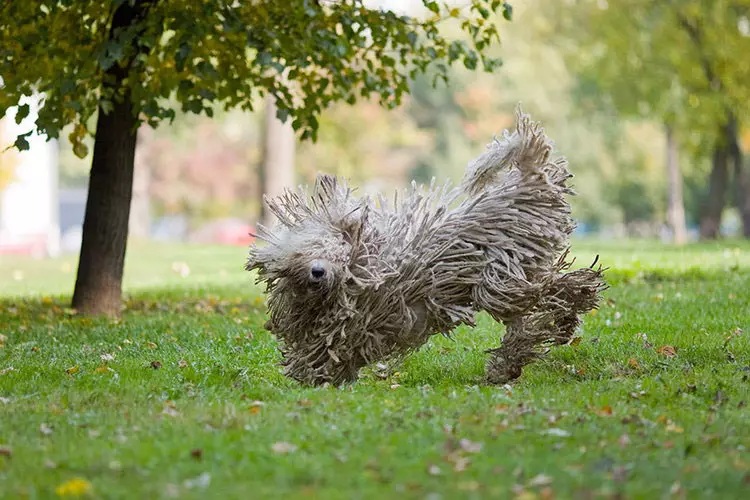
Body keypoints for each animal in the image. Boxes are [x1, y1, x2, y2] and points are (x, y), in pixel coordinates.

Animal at [250, 106, 608, 386]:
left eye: (333, 251)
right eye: (302, 254)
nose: (318, 272)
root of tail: (528, 181)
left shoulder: (357, 322)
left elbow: (324, 352)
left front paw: (312, 373)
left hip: (500, 278)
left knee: (546, 294)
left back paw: (569, 307)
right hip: (515, 274)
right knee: (538, 308)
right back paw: (529, 347)